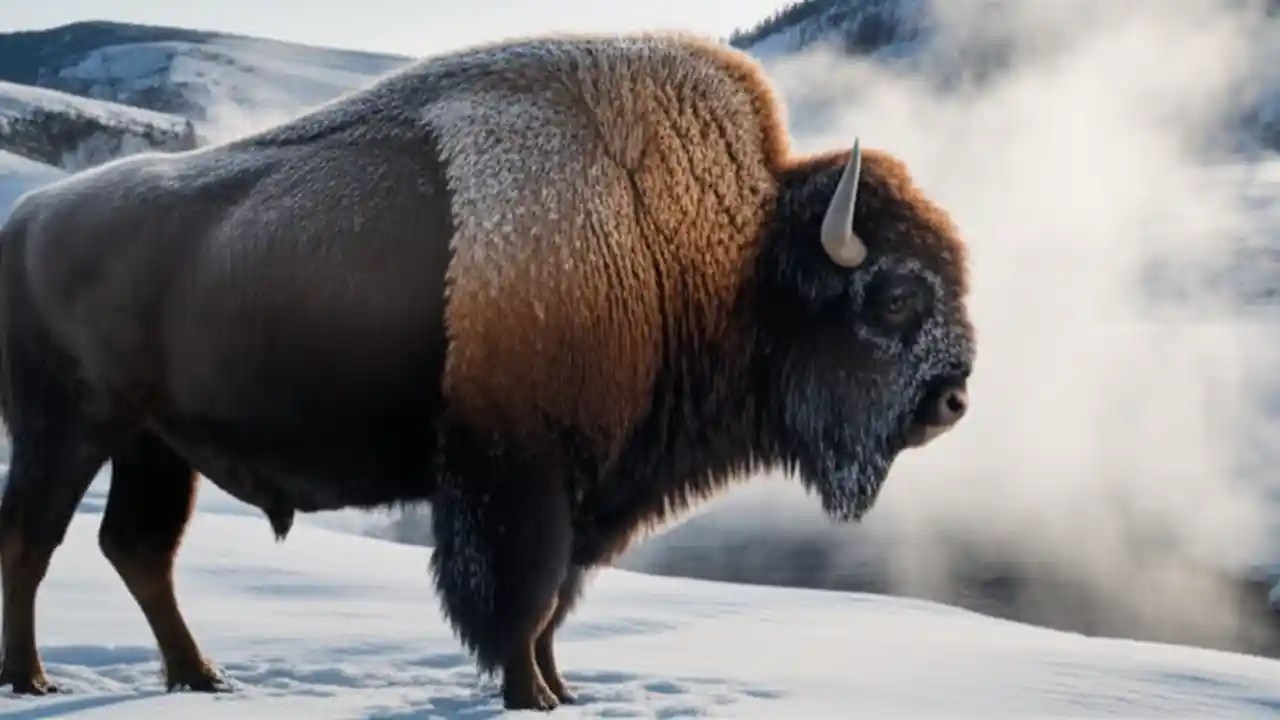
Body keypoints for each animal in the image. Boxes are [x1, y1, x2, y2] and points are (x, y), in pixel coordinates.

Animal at [0, 32, 975, 710]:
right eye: (895, 296)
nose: (953, 398)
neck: (717, 252)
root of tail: (28, 219)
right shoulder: (516, 475)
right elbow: (520, 597)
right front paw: (530, 695)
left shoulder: (589, 489)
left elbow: (555, 604)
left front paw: (562, 692)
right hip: (69, 431)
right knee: (33, 541)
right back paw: (37, 680)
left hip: (156, 447)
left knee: (136, 549)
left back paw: (201, 677)